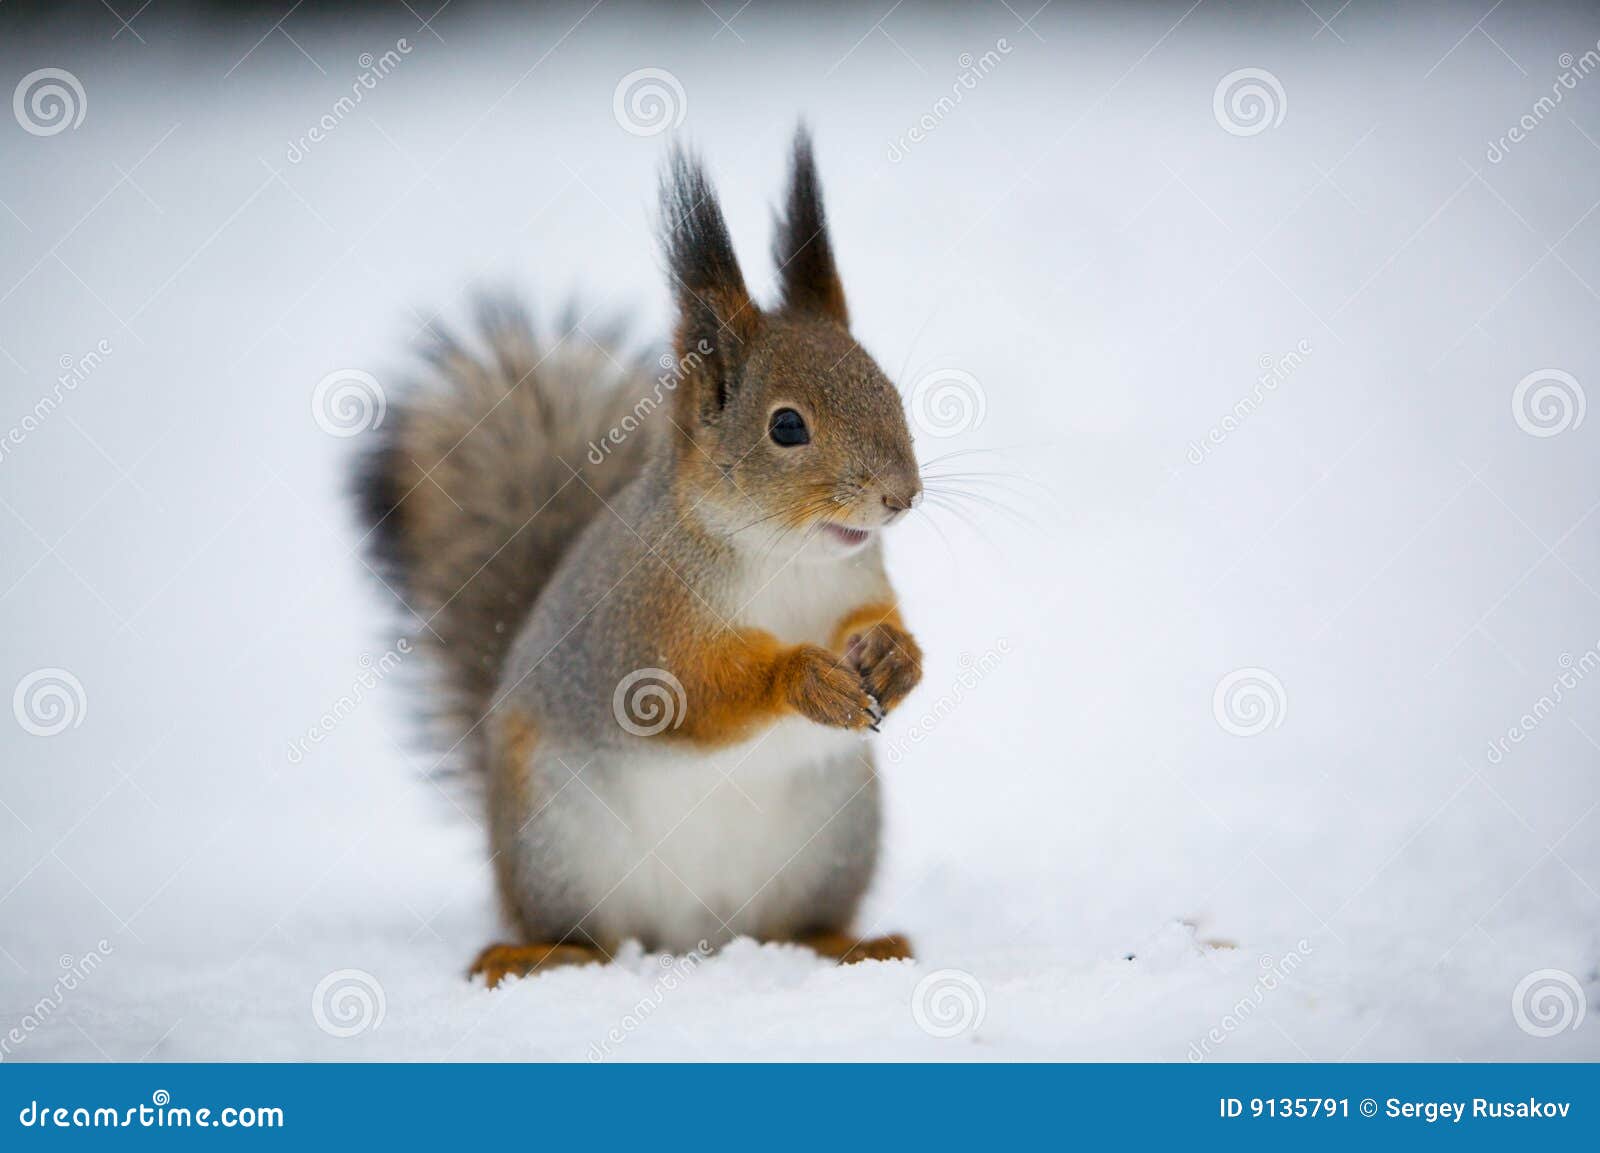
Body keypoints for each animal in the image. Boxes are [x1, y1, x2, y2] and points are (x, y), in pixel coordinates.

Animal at [355, 128, 925, 988]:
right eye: (787, 426)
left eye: (889, 388)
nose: (902, 496)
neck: (781, 557)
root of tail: (693, 936)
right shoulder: (639, 625)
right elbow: (691, 690)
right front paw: (802, 677)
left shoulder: (858, 577)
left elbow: (878, 620)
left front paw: (895, 655)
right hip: (555, 842)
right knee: (584, 932)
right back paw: (536, 954)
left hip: (837, 833)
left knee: (797, 925)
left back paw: (852, 944)